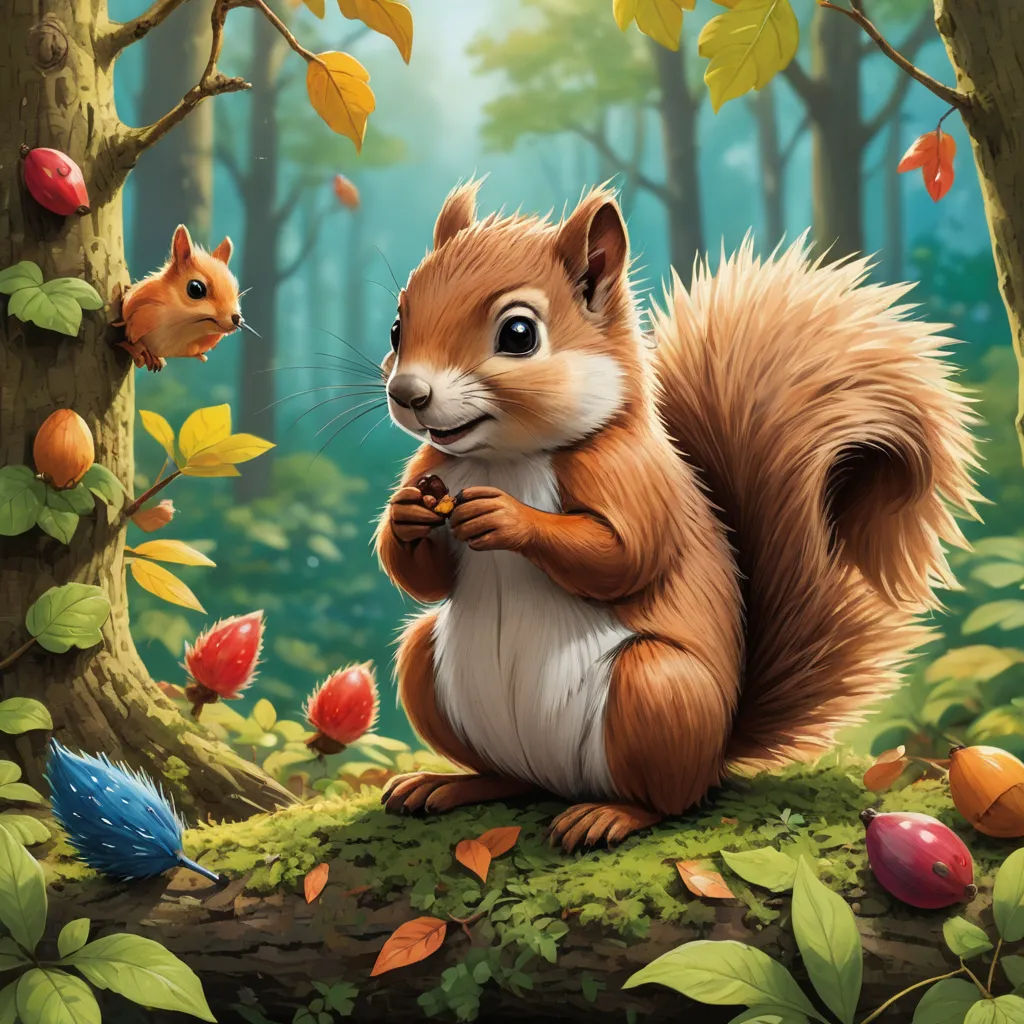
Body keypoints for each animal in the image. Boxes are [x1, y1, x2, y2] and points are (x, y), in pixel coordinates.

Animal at [374, 181, 980, 852]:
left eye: (519, 334)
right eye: (398, 326)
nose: (407, 394)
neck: (503, 458)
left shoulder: (634, 476)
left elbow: (625, 557)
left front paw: (509, 518)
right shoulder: (433, 465)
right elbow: (425, 579)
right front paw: (405, 517)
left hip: (659, 693)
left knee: (669, 800)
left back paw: (610, 815)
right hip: (429, 668)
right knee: (509, 776)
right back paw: (448, 784)